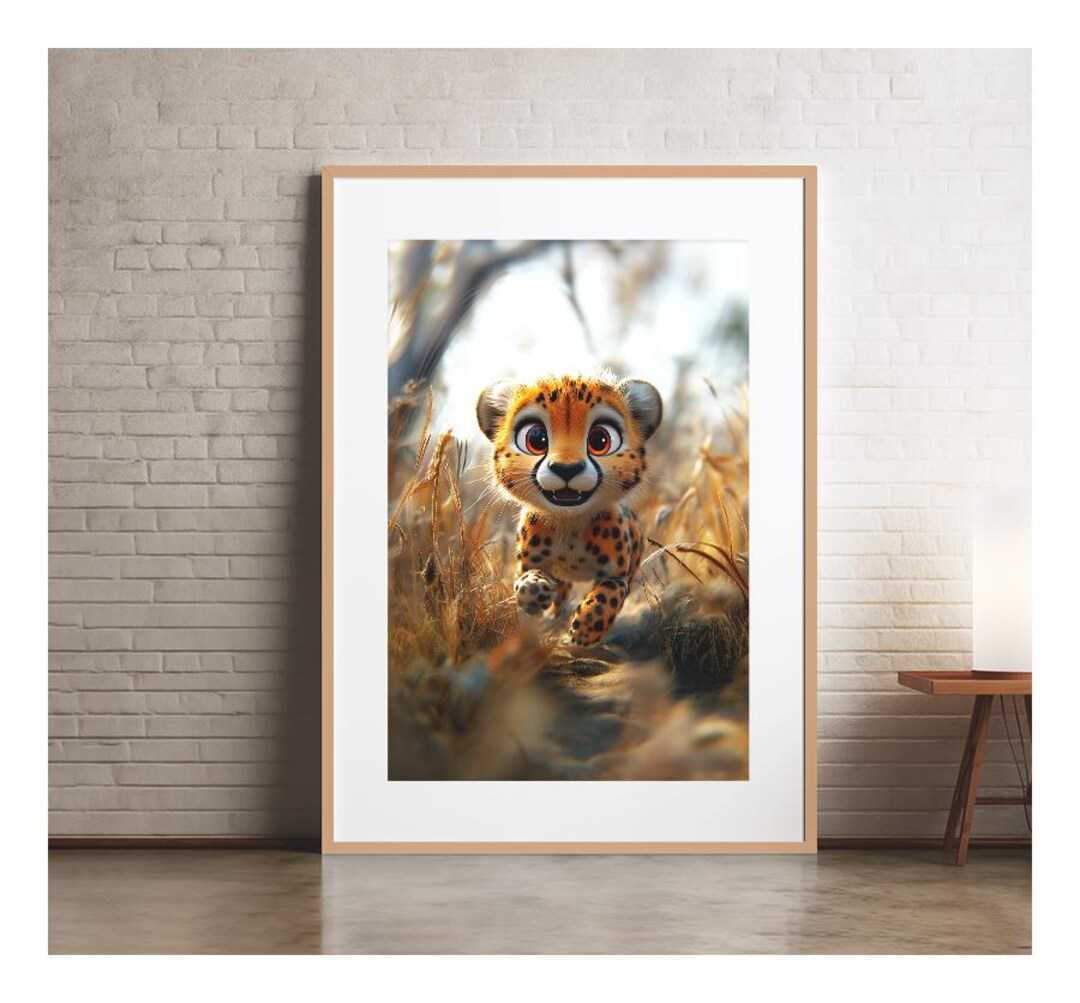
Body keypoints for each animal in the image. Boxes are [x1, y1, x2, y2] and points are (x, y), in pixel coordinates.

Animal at [476, 372, 662, 647]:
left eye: (600, 440)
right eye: (536, 439)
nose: (566, 469)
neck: (569, 524)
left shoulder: (616, 575)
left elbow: (606, 597)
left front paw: (584, 630)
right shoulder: (529, 564)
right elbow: (528, 577)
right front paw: (534, 593)